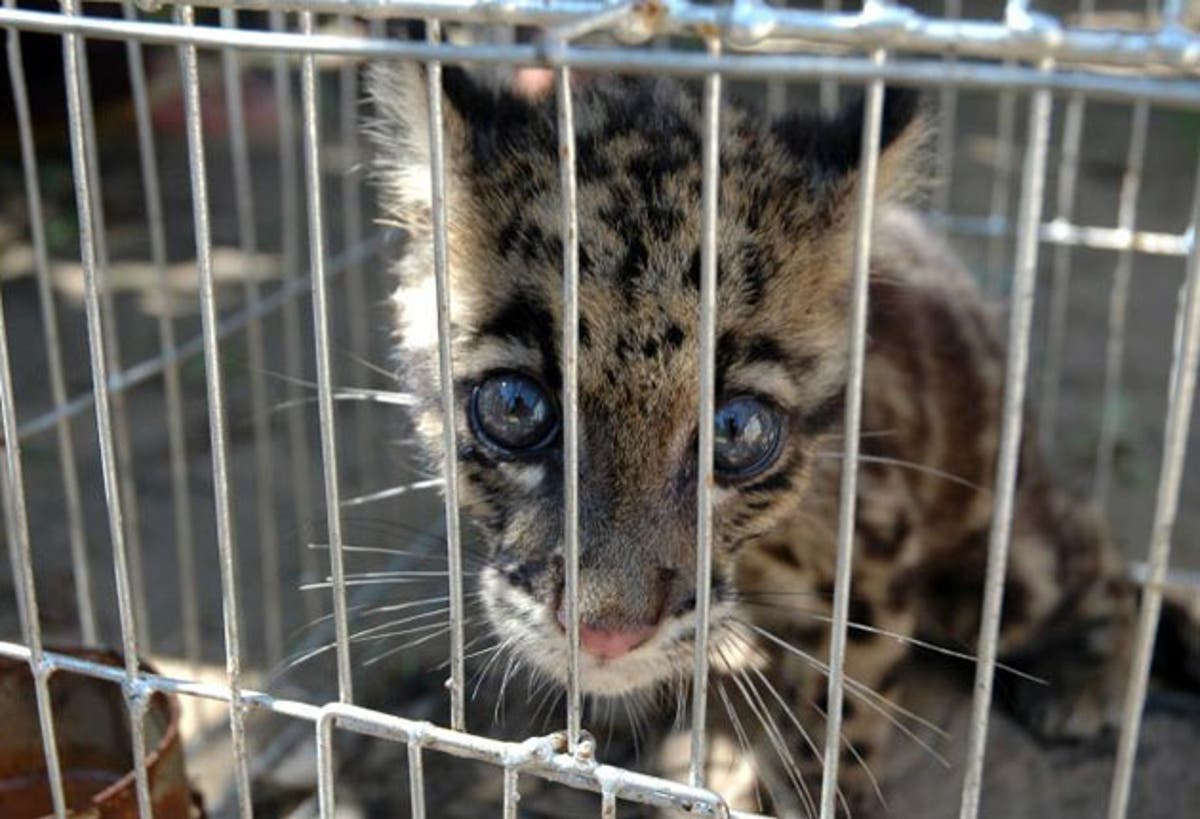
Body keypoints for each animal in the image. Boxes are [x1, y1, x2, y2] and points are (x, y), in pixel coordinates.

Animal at [363, 61, 1172, 816]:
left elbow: (841, 703)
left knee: (1099, 558)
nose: (606, 634)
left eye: (739, 428)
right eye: (515, 406)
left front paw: (813, 791)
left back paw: (1088, 678)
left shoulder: (872, 552)